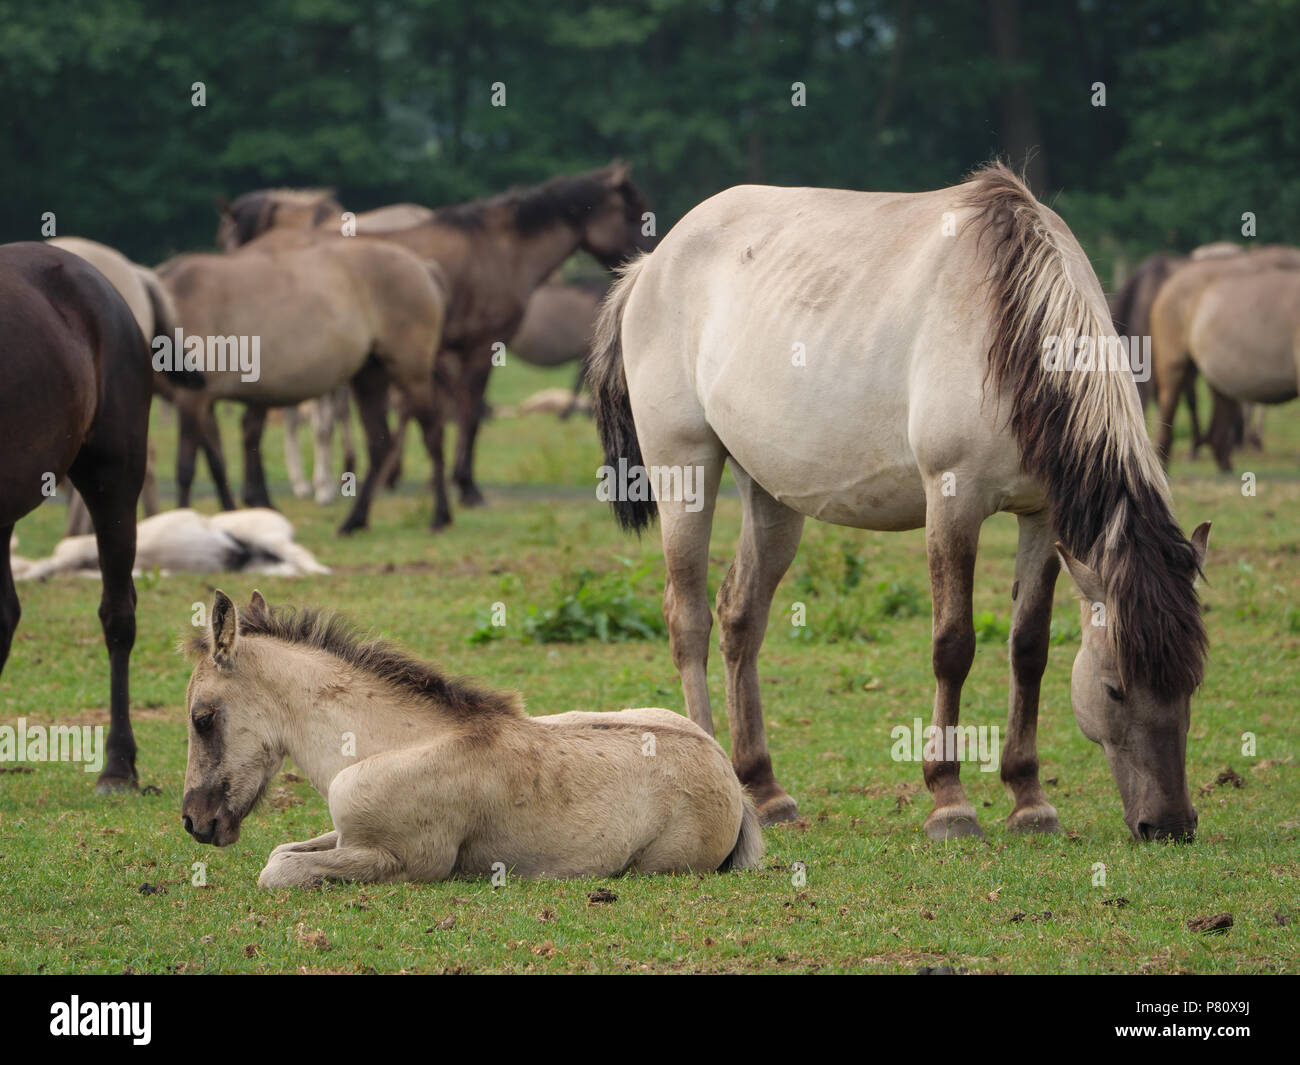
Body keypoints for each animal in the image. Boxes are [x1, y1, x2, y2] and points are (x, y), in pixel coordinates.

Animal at [158, 233, 452, 532]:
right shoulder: (202, 403)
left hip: (412, 376)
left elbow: (185, 467)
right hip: (370, 377)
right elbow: (216, 462)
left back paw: (440, 515)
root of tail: (424, 267)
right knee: (379, 444)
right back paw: (354, 521)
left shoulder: (192, 399)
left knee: (433, 436)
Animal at [181, 590, 762, 885]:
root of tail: (731, 781)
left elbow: (277, 870)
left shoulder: (407, 862)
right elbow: (282, 850)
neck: (390, 744)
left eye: (202, 718)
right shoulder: (348, 837)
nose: (193, 822)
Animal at [218, 163, 652, 517]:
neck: (500, 248)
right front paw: (466, 487)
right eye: (631, 212)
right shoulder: (479, 348)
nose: (646, 260)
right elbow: (469, 415)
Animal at [589, 164, 1211, 842]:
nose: (1169, 824)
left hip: (770, 493)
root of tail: (653, 263)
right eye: (1114, 687)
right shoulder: (953, 502)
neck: (1010, 323)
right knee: (689, 619)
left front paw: (1028, 798)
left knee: (739, 616)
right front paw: (950, 800)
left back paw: (764, 788)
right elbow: (953, 646)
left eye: (1192, 683)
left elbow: (1028, 649)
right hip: (685, 470)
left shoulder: (1043, 517)